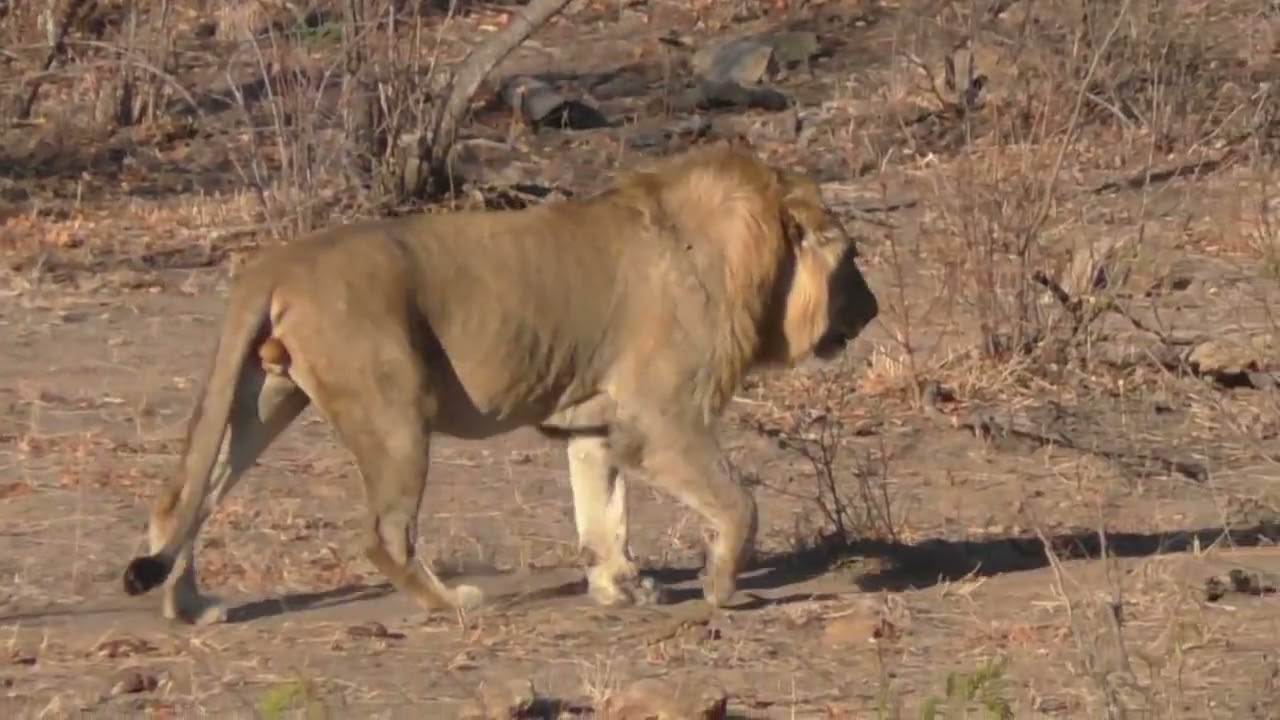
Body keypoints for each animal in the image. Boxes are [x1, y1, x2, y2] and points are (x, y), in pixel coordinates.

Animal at [121, 142, 880, 625]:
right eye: (852, 259)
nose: (872, 311)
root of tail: (272, 263)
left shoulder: (597, 421)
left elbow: (602, 513)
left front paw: (619, 590)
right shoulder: (662, 421)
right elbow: (739, 504)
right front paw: (721, 589)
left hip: (264, 398)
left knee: (183, 500)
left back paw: (189, 608)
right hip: (394, 409)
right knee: (383, 533)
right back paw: (454, 604)